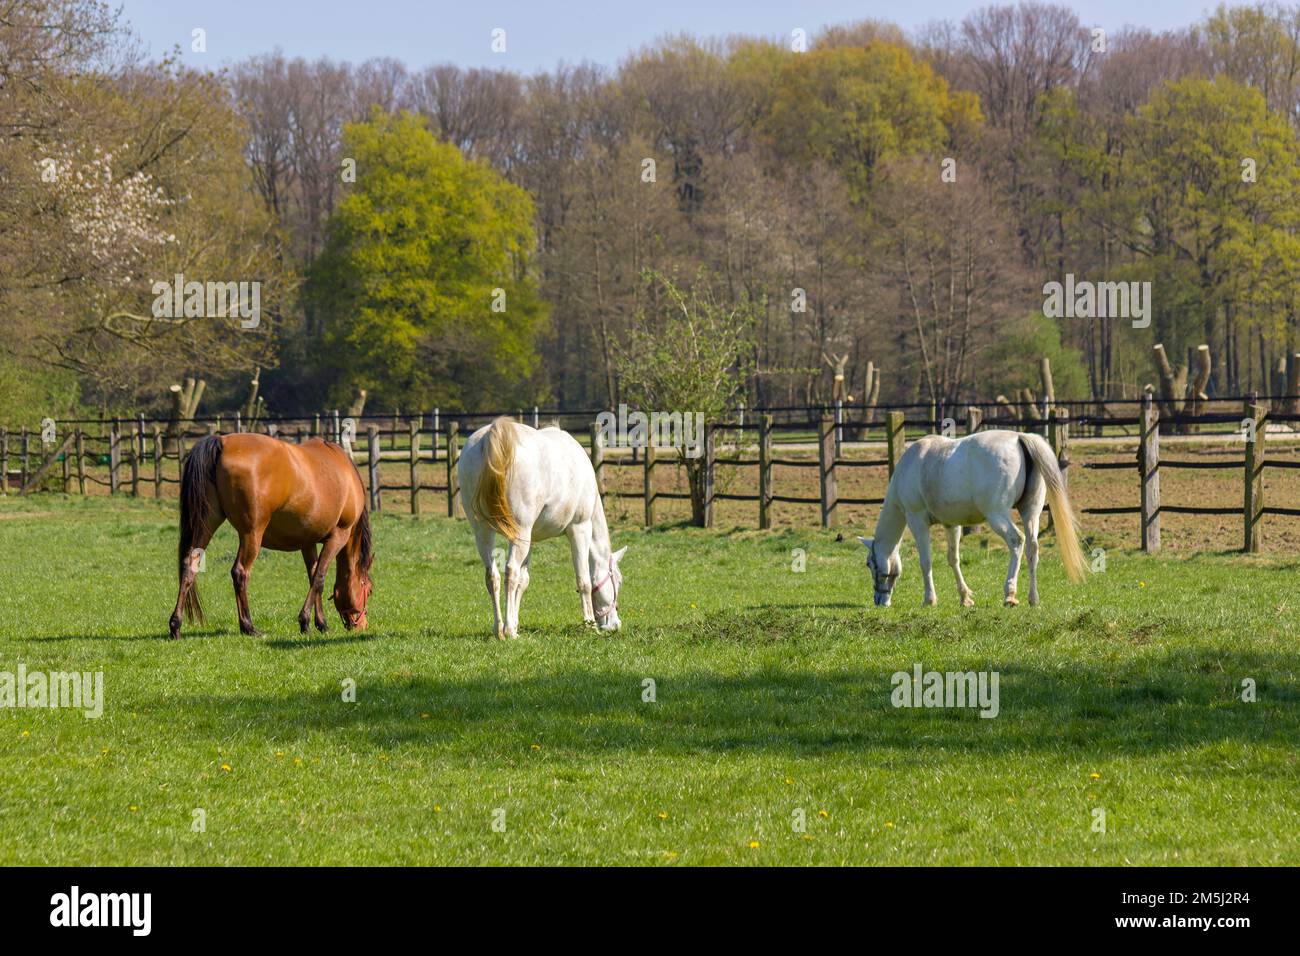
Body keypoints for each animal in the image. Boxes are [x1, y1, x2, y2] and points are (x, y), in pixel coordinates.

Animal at [168, 433, 373, 638]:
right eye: (369, 590)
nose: (363, 625)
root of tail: (222, 441)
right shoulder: (338, 536)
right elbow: (319, 578)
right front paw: (305, 621)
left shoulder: (308, 542)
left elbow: (312, 576)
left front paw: (320, 623)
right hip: (252, 534)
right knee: (240, 572)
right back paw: (248, 626)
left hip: (207, 524)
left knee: (190, 565)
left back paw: (176, 625)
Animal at [458, 416, 625, 639]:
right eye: (618, 580)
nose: (615, 625)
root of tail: (492, 433)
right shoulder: (579, 529)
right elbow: (584, 581)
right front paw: (589, 625)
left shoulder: (531, 539)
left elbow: (523, 581)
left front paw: (516, 622)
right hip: (520, 531)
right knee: (510, 571)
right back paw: (509, 631)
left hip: (484, 532)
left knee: (492, 575)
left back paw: (500, 629)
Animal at [859, 430, 1085, 608]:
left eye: (870, 564)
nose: (879, 601)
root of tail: (1020, 437)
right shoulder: (952, 525)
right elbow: (953, 559)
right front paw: (964, 597)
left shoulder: (917, 522)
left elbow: (926, 561)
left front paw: (929, 600)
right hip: (1031, 513)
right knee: (1032, 548)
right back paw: (1033, 598)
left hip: (997, 515)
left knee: (1017, 541)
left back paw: (1010, 594)